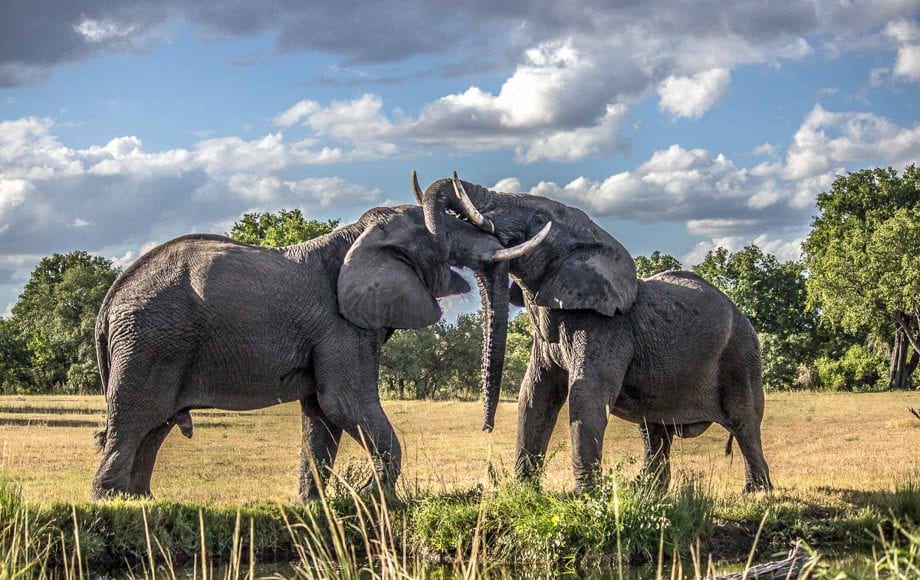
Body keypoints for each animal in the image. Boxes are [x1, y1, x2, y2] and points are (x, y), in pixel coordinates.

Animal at [92, 192, 547, 500]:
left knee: (155, 425)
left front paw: (313, 507)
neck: (359, 234)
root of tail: (108, 304)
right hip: (151, 341)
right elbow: (343, 402)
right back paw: (111, 501)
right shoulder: (339, 324)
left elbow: (322, 414)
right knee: (136, 418)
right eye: (446, 235)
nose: (486, 430)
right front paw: (377, 501)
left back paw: (139, 502)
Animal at [417, 174, 773, 493]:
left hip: (741, 352)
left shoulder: (606, 326)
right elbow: (534, 394)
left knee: (744, 421)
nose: (486, 429)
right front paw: (522, 492)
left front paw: (583, 497)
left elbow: (586, 392)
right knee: (653, 429)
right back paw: (647, 491)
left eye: (539, 220)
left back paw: (756, 492)